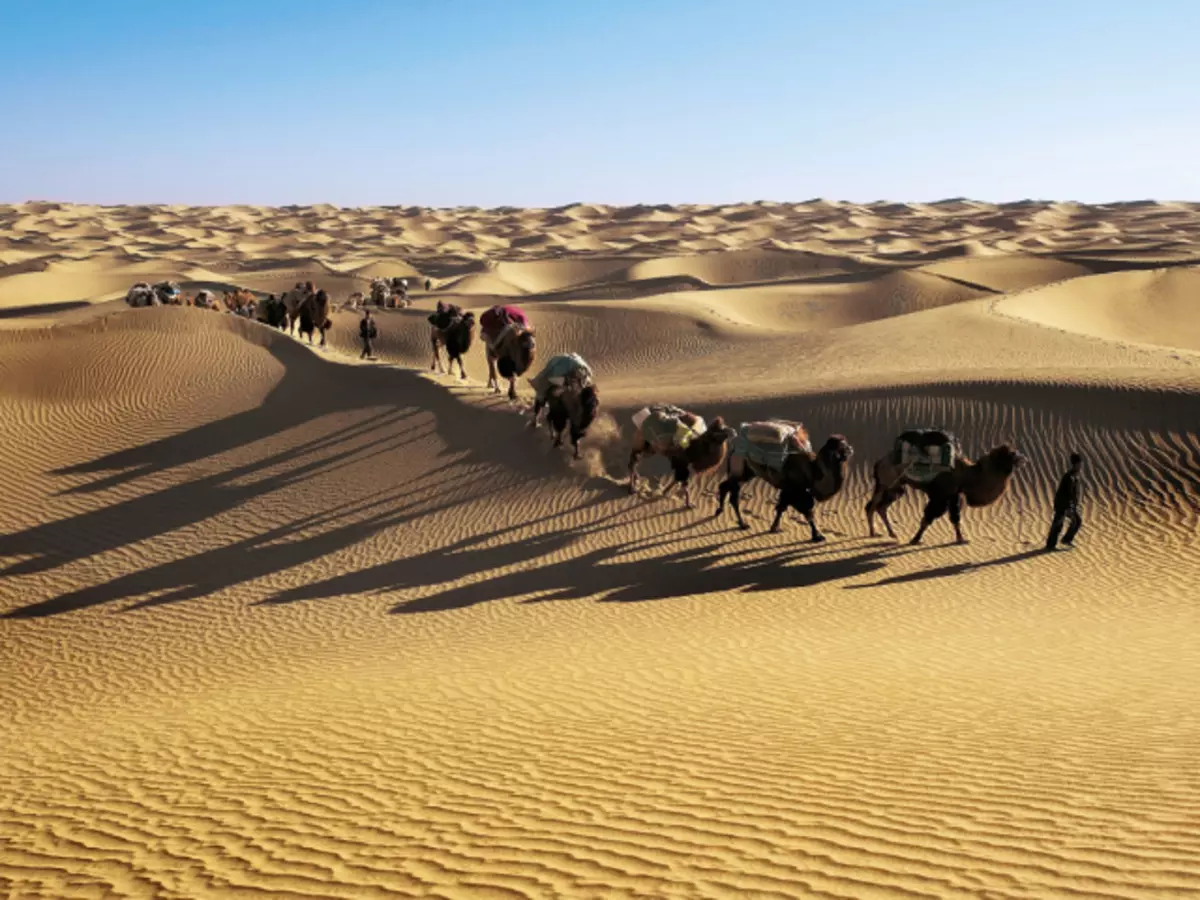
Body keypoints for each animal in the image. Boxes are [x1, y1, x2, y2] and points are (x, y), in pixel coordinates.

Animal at [710, 422, 854, 542]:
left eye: (846, 444)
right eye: (843, 447)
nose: (852, 449)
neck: (813, 472)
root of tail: (734, 442)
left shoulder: (789, 490)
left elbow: (781, 507)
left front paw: (775, 528)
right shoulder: (796, 491)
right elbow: (807, 511)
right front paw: (817, 536)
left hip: (746, 473)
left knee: (725, 486)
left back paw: (720, 511)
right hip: (740, 468)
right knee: (733, 496)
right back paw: (743, 524)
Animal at [868, 427, 1027, 547]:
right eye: (1013, 454)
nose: (1024, 458)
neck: (968, 475)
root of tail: (879, 461)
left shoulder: (953, 495)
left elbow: (955, 518)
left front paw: (960, 539)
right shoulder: (940, 496)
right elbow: (928, 517)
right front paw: (915, 539)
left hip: (897, 487)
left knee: (881, 507)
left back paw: (890, 533)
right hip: (886, 482)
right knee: (872, 506)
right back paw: (873, 532)